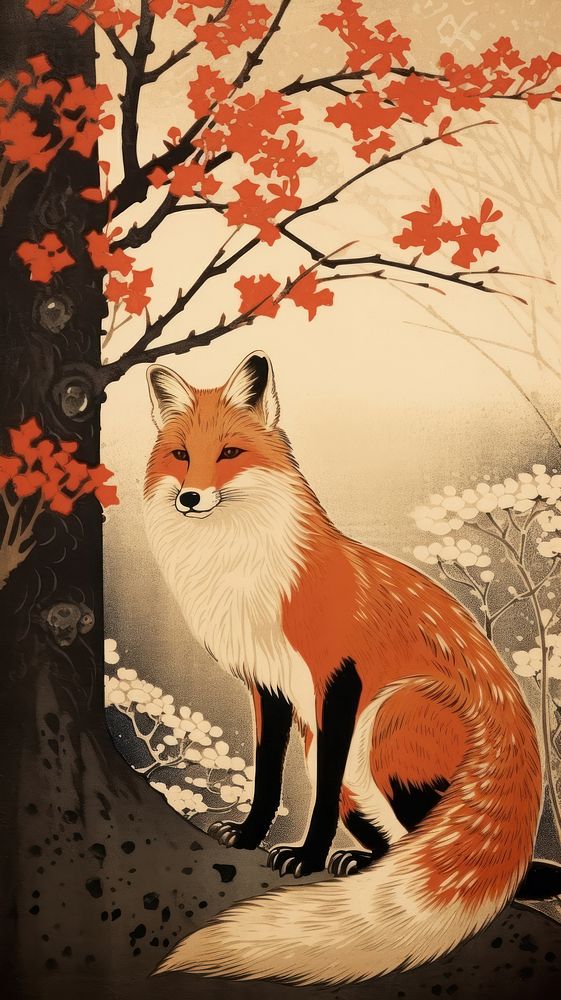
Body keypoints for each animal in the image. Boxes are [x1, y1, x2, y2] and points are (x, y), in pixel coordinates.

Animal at [143, 351, 557, 986]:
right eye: (182, 455)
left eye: (230, 453)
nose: (189, 498)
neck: (246, 568)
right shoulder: (268, 687)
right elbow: (267, 776)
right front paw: (250, 834)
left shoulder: (338, 681)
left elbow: (311, 803)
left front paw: (306, 855)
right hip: (341, 766)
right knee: (403, 847)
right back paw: (361, 859)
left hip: (388, 716)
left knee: (453, 855)